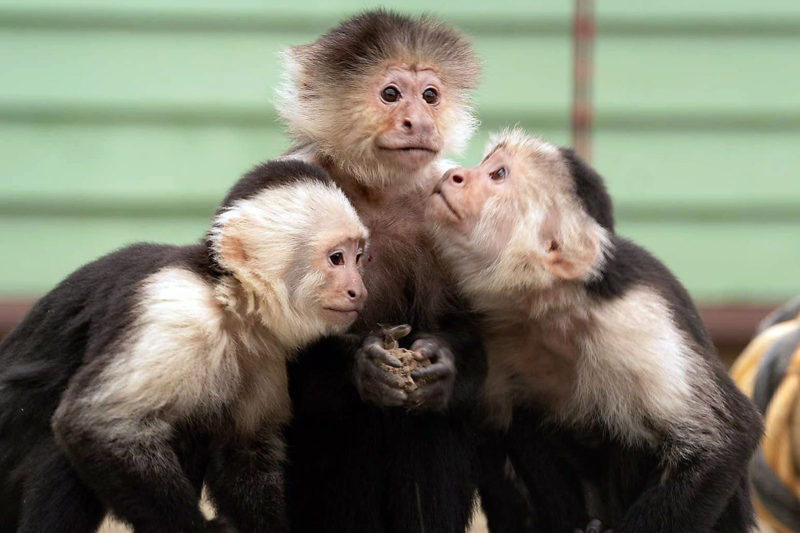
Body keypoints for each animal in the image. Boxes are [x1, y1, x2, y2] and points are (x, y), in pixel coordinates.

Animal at [0, 160, 369, 533]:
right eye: (336, 259)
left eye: (358, 257)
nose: (359, 290)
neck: (225, 298)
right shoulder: (178, 315)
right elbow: (95, 425)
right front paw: (202, 529)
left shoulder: (264, 352)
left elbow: (243, 453)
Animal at [272, 10, 488, 533]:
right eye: (391, 94)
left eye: (429, 95)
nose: (419, 120)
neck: (377, 194)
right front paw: (362, 367)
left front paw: (442, 364)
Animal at [425, 129, 763, 533]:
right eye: (485, 163)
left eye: (498, 174)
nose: (454, 175)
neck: (557, 309)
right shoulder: (498, 323)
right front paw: (443, 368)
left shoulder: (636, 321)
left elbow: (723, 439)